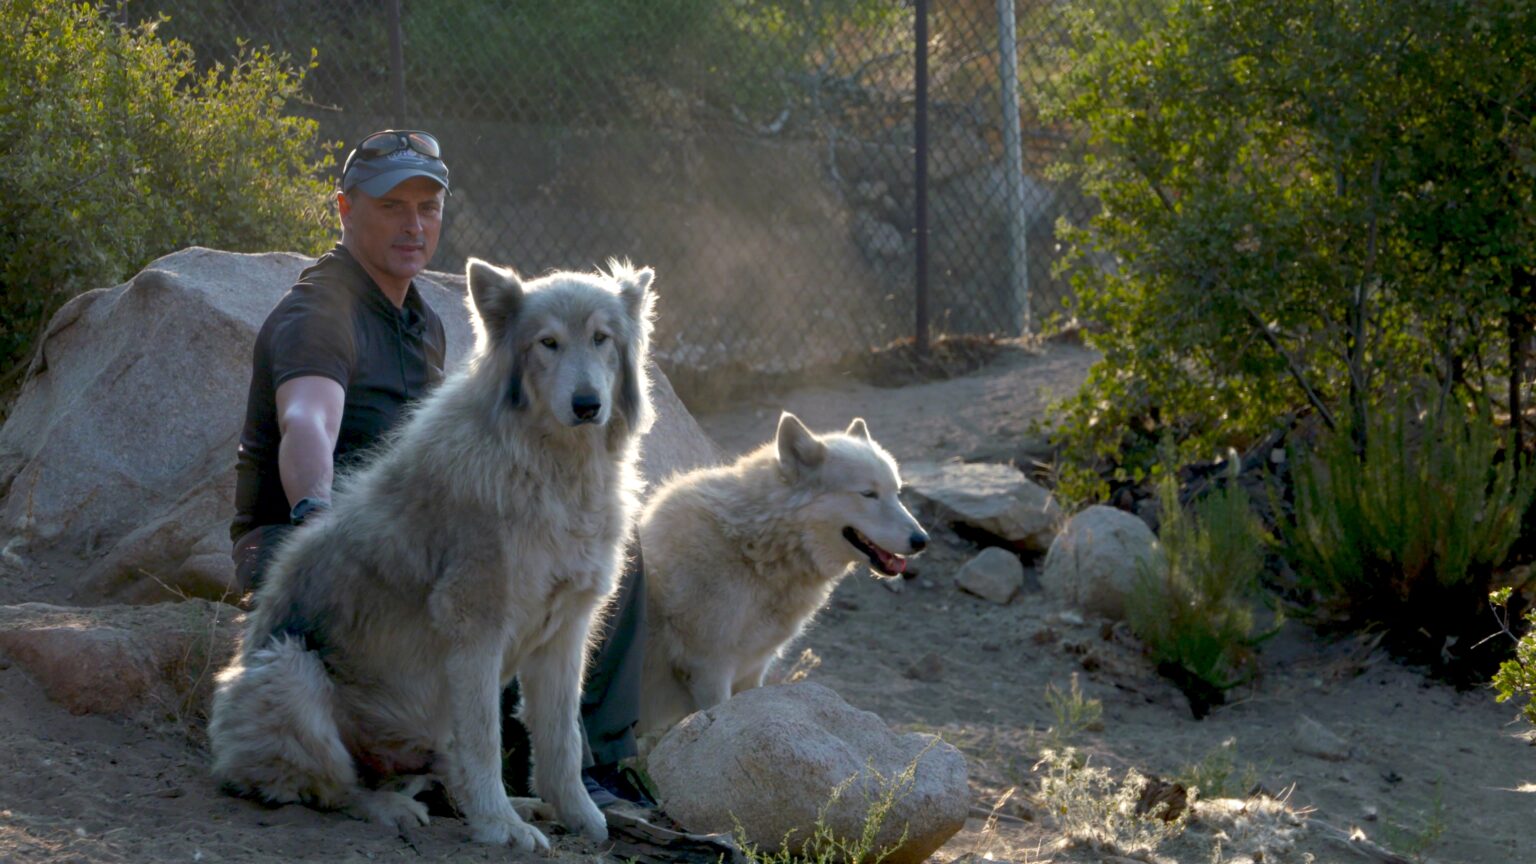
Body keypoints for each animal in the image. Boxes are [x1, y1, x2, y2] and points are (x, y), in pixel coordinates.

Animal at [207, 257, 656, 852]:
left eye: (602, 339)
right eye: (548, 343)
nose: (587, 405)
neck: (553, 472)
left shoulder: (565, 633)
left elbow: (560, 741)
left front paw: (576, 816)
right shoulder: (477, 631)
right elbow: (486, 742)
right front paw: (499, 829)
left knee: (436, 773)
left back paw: (511, 805)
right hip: (292, 669)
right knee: (332, 788)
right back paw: (393, 808)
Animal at [637, 412, 928, 735]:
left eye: (897, 493)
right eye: (869, 494)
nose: (922, 540)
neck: (753, 548)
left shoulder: (753, 669)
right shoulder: (708, 669)